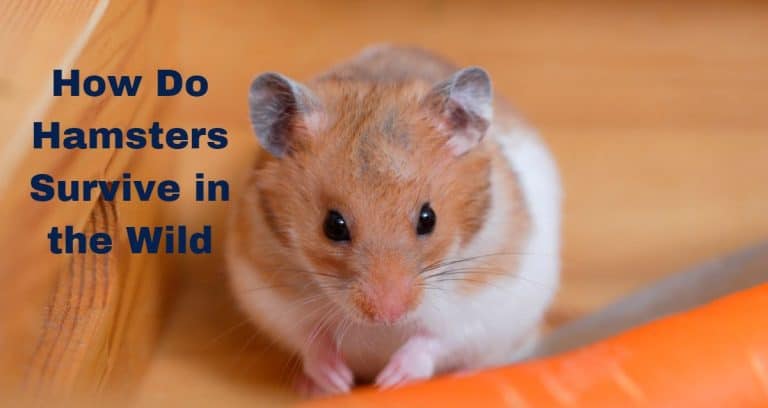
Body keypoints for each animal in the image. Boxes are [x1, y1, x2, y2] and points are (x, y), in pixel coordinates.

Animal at [226, 45, 561, 396]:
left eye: (428, 219)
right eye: (333, 226)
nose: (389, 314)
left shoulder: (480, 304)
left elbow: (433, 341)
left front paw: (390, 381)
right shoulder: (273, 298)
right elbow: (310, 339)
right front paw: (338, 381)